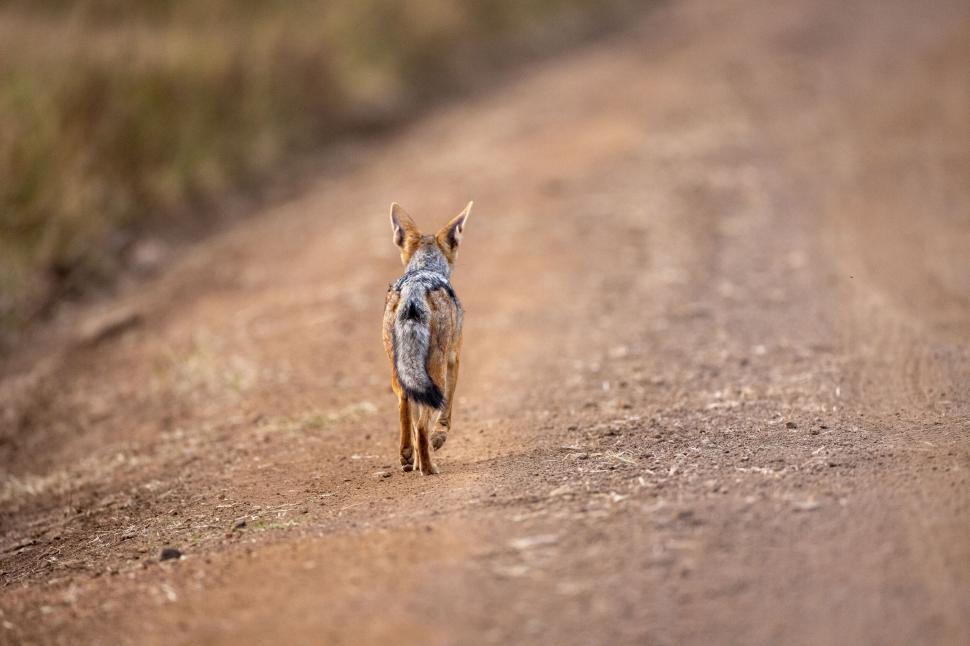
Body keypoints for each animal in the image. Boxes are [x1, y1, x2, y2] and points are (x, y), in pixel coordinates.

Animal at [382, 201, 472, 475]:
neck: (424, 269)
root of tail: (415, 287)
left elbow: (412, 418)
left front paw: (414, 459)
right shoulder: (454, 359)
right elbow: (447, 410)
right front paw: (438, 439)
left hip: (398, 371)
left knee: (405, 405)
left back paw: (408, 456)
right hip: (436, 369)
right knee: (422, 424)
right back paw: (430, 468)